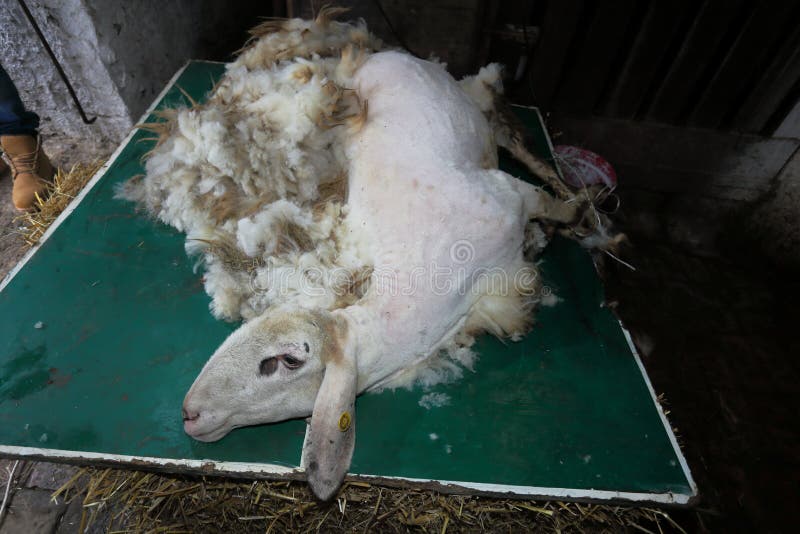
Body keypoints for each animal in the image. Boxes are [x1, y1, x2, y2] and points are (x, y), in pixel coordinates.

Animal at [120, 8, 617, 500]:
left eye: (286, 360)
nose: (189, 413)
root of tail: (376, 51)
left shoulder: (511, 195)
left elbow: (546, 201)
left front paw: (572, 213)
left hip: (486, 125)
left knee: (520, 145)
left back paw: (583, 200)